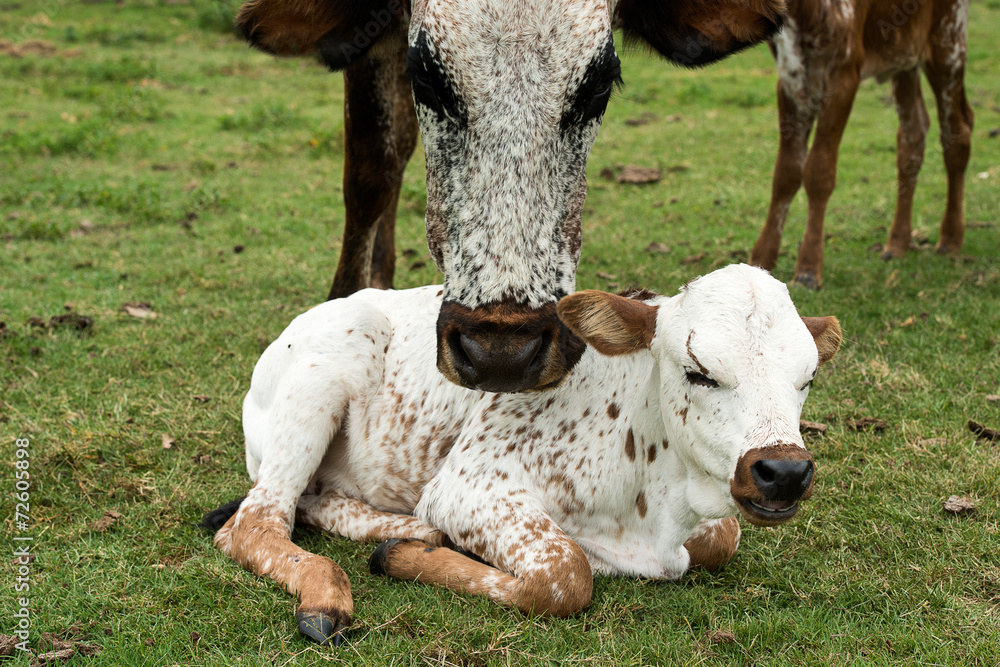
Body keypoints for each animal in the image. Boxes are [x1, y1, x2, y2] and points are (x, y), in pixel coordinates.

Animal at [205, 263, 842, 645]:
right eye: (699, 372)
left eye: (807, 377)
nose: (784, 472)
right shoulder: (467, 485)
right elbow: (566, 575)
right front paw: (403, 558)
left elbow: (721, 539)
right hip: (325, 377)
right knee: (255, 522)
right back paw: (332, 593)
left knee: (309, 502)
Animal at [749, 0, 973, 288]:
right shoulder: (789, 75)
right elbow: (786, 173)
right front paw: (762, 259)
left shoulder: (844, 74)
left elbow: (818, 171)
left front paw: (809, 267)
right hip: (904, 53)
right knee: (913, 135)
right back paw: (897, 243)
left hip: (948, 43)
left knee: (957, 133)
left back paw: (950, 238)